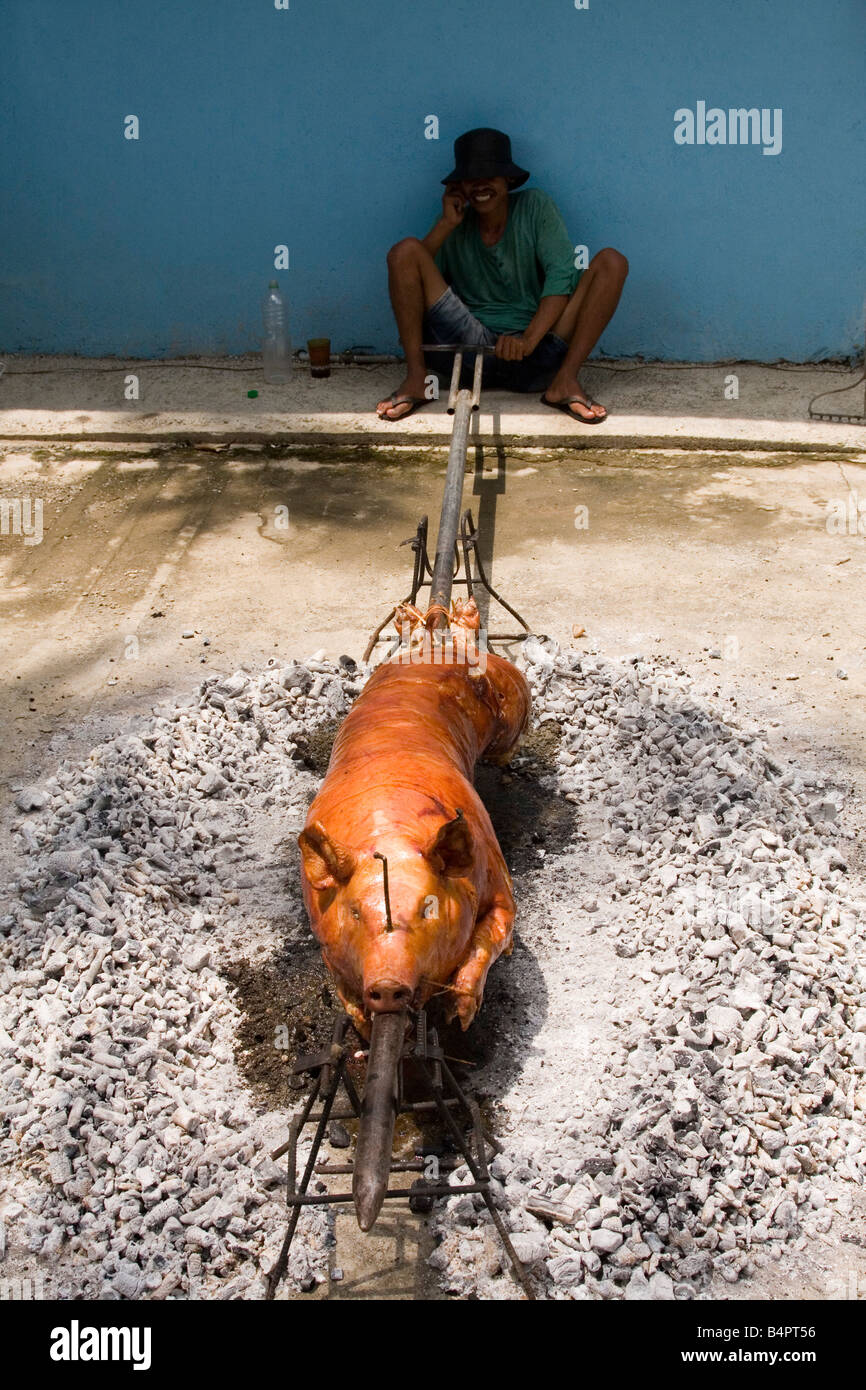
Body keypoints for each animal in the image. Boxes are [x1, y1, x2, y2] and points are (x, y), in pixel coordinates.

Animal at [298, 651, 530, 1037]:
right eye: (355, 912)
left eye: (428, 908)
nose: (388, 985)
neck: (391, 838)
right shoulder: (322, 933)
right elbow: (340, 981)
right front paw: (365, 1029)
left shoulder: (499, 880)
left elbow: (497, 930)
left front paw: (457, 1018)